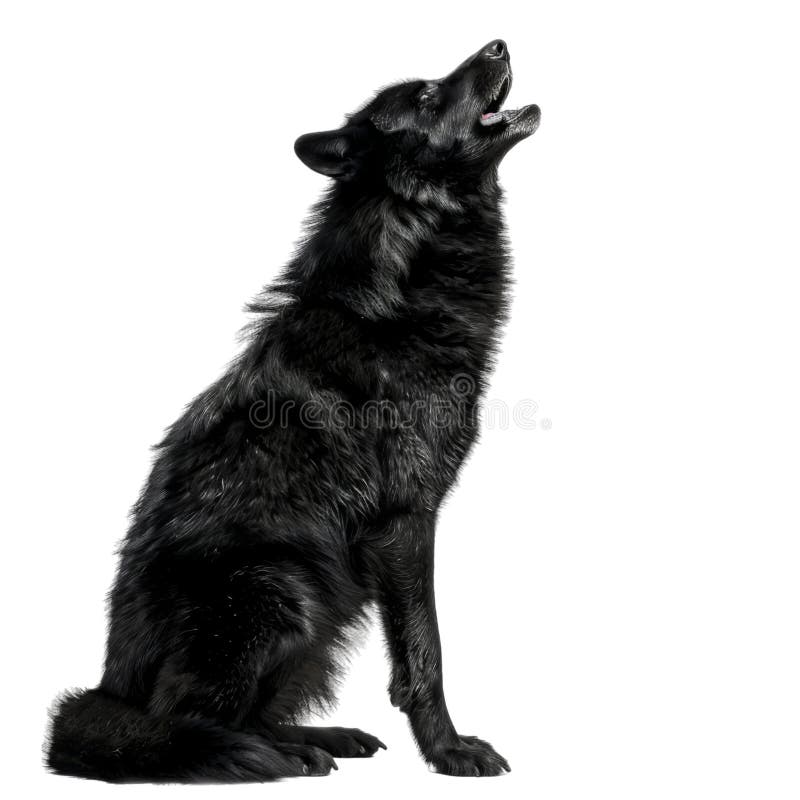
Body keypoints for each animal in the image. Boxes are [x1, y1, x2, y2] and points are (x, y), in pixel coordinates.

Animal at [46, 39, 540, 781]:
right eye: (426, 97)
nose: (499, 43)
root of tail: (111, 687)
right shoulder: (405, 522)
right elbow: (425, 654)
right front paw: (449, 751)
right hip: (285, 589)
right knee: (187, 723)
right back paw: (282, 755)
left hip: (321, 613)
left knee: (241, 715)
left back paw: (320, 739)